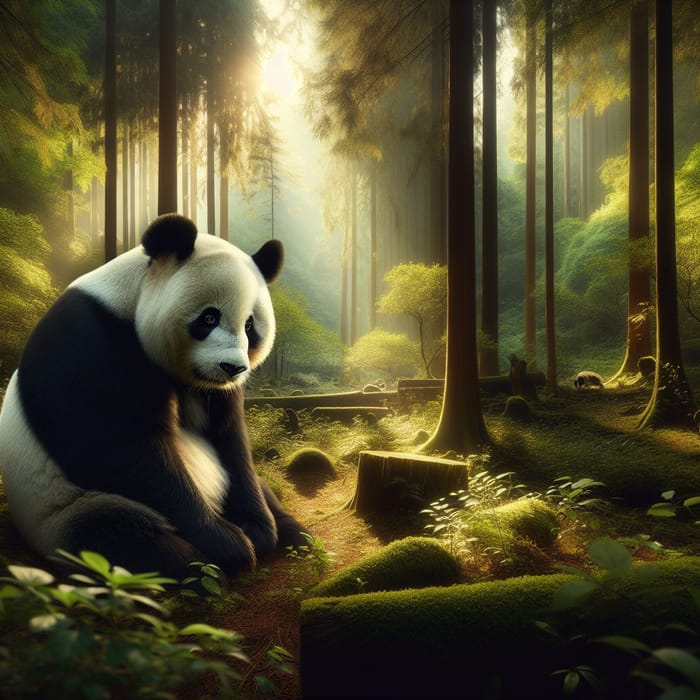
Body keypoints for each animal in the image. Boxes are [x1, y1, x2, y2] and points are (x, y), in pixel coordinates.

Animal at [0, 214, 306, 577]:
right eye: (209, 317)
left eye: (250, 326)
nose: (232, 368)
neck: (128, 303)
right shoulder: (84, 343)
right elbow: (115, 448)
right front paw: (230, 541)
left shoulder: (214, 394)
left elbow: (230, 439)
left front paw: (257, 529)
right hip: (64, 510)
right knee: (119, 535)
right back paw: (207, 565)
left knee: (260, 486)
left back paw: (297, 536)